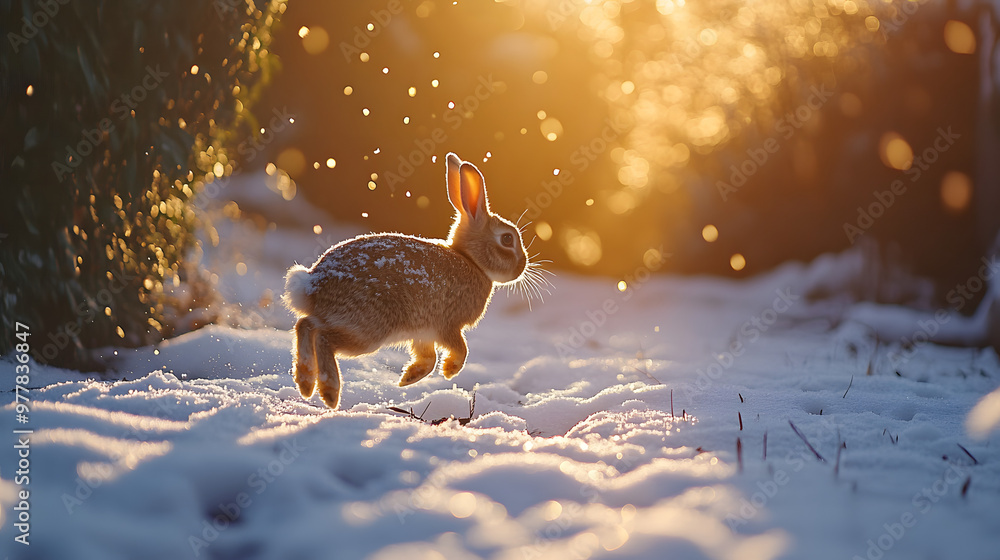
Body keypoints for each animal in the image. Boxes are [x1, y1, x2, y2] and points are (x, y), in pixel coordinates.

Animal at [283, 153, 531, 409]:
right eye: (507, 239)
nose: (522, 266)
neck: (471, 261)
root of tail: (312, 285)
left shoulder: (423, 333)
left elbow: (428, 358)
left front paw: (408, 378)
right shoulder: (447, 325)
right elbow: (461, 350)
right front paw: (449, 370)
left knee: (305, 325)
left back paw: (305, 382)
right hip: (368, 329)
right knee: (322, 337)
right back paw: (330, 392)